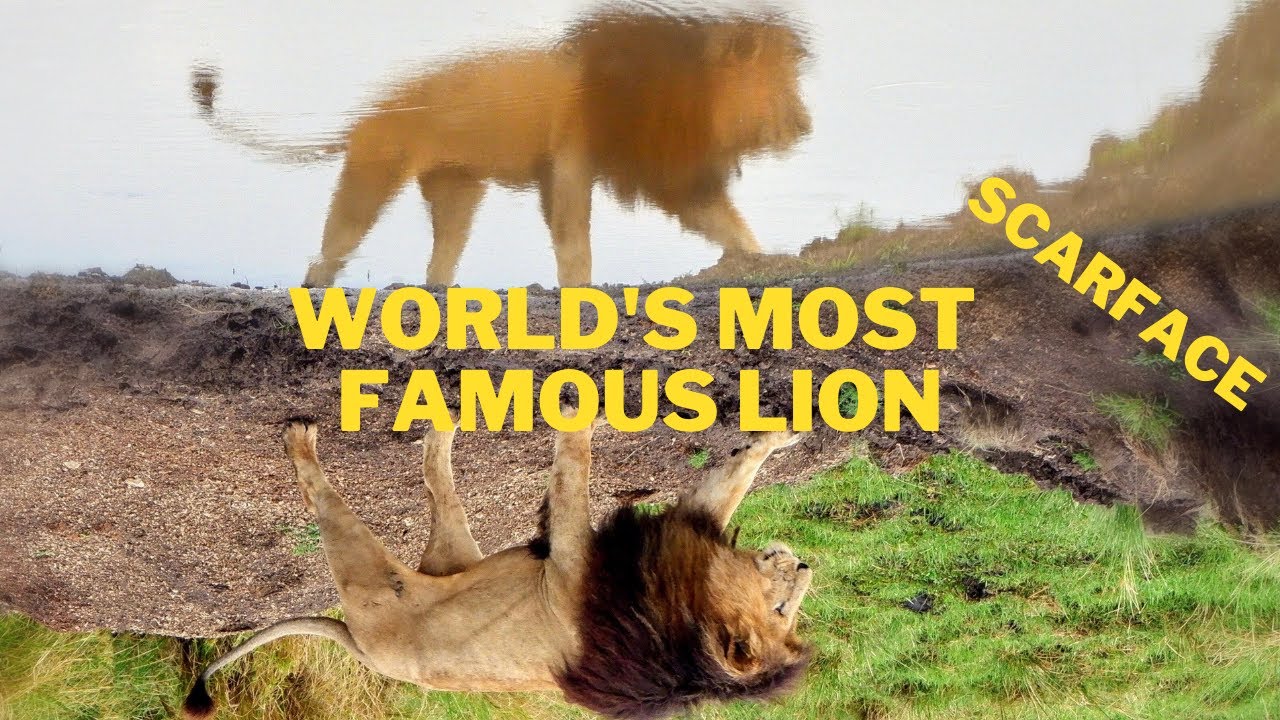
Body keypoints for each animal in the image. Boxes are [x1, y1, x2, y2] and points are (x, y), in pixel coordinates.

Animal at [182, 412, 812, 719]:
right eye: (785, 609)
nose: (806, 565)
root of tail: (360, 648)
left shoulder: (571, 563)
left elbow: (573, 467)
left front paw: (579, 406)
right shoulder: (664, 537)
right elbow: (727, 484)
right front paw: (781, 436)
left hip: (370, 572)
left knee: (329, 502)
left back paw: (303, 445)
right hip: (457, 556)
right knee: (438, 485)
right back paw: (442, 427)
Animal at [190, 8, 811, 287]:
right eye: (782, 82)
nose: (805, 124)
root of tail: (367, 113)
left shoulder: (663, 174)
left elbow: (726, 221)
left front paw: (763, 259)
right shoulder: (571, 160)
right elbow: (574, 242)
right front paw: (579, 292)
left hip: (457, 191)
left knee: (439, 259)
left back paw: (440, 292)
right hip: (371, 173)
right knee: (330, 249)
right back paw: (315, 291)